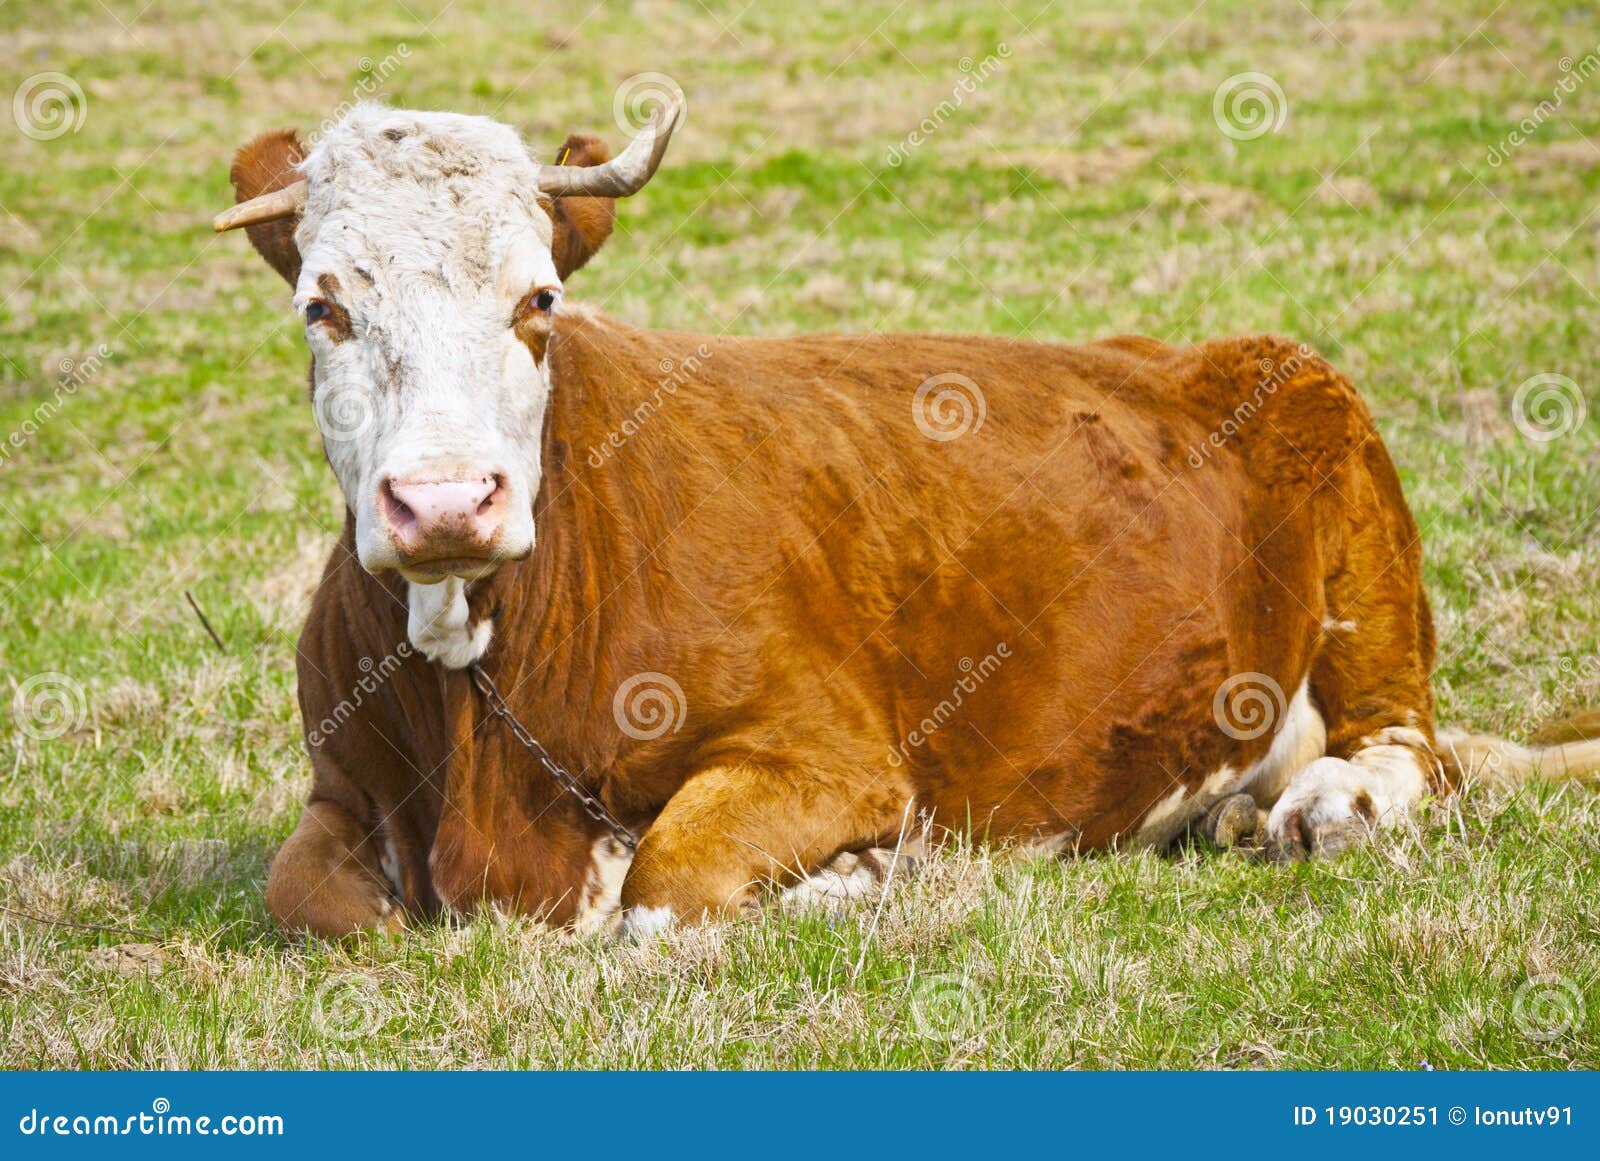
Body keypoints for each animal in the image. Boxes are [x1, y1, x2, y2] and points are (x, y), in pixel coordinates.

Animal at [216, 96, 1600, 939]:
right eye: (323, 307)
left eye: (539, 299)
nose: (446, 500)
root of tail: (1189, 352)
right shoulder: (339, 792)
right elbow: (312, 898)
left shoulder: (830, 756)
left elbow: (665, 889)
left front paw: (857, 876)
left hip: (1353, 525)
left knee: (1409, 748)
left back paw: (1324, 807)